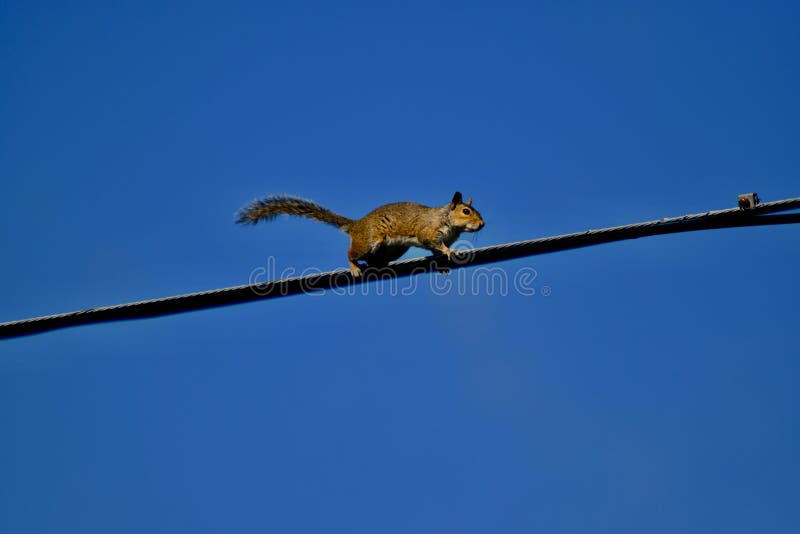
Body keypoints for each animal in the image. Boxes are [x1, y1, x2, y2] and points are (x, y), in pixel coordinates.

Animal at [236, 191, 485, 276]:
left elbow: (434, 251)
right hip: (370, 241)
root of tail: (356, 226)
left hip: (391, 249)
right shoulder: (427, 230)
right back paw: (354, 266)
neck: (447, 220)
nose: (482, 224)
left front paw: (441, 264)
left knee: (373, 260)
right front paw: (449, 250)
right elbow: (433, 242)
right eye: (466, 211)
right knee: (351, 253)